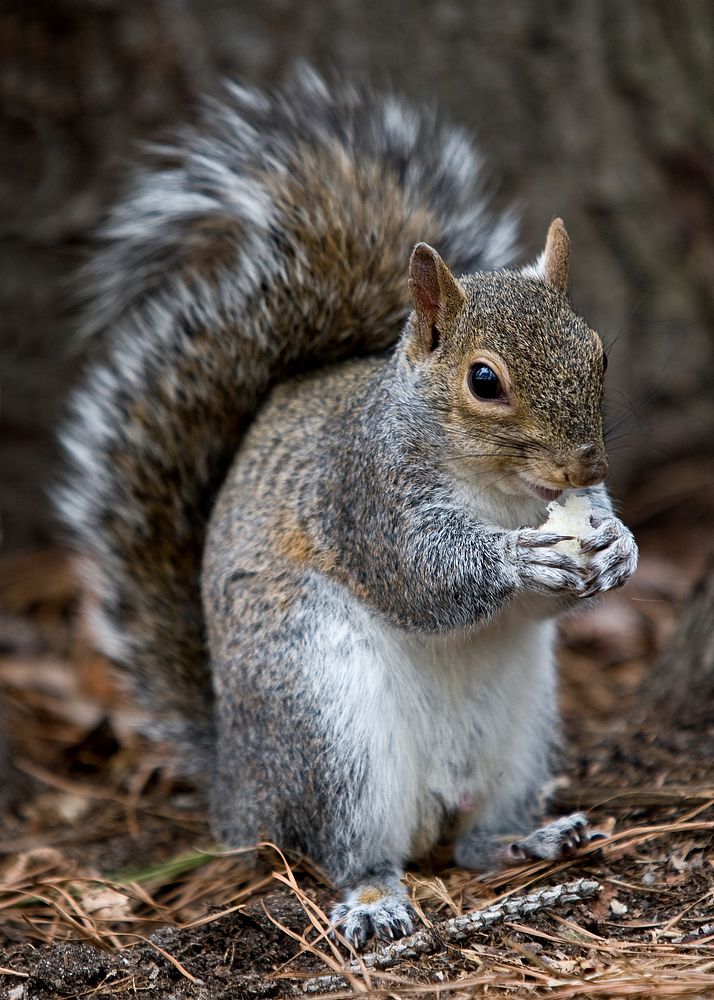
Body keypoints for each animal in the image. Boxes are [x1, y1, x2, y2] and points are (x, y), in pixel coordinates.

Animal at [57, 67, 638, 947]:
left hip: (523, 731)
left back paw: (524, 838)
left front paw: (620, 545)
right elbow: (419, 577)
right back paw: (373, 900)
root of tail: (241, 789)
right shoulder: (362, 493)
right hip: (326, 721)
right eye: (484, 380)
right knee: (345, 844)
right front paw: (515, 557)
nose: (588, 463)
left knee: (471, 842)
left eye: (598, 352)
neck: (501, 491)